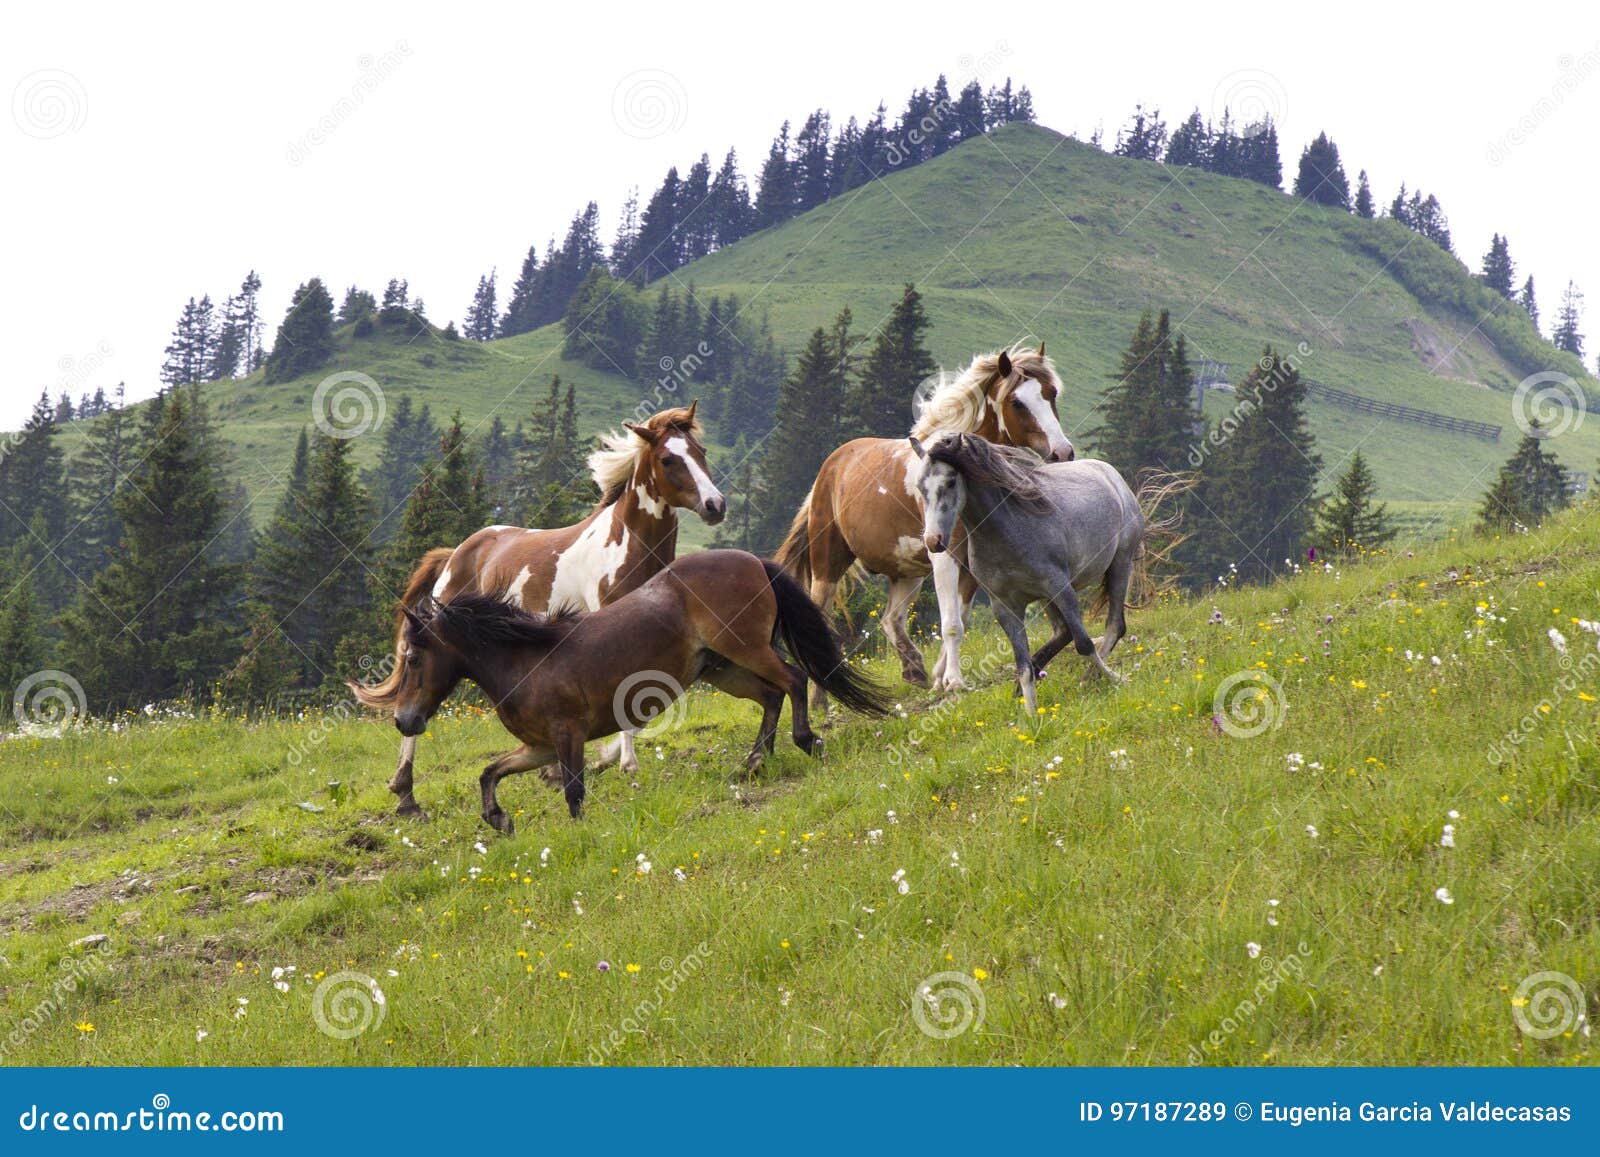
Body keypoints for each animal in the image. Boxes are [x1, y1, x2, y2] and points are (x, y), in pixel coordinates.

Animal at [351, 550, 891, 831]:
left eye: (413, 658)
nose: (403, 720)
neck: (525, 658)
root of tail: (752, 561)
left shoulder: (567, 736)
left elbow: (573, 791)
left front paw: (577, 835)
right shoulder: (539, 746)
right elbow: (491, 772)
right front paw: (498, 819)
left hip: (745, 649)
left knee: (795, 681)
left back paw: (805, 743)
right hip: (724, 670)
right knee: (772, 696)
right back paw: (756, 761)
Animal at [365, 403, 725, 820]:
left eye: (701, 451)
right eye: (668, 459)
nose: (716, 505)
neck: (626, 547)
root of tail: (457, 552)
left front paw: (582, 764)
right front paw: (622, 763)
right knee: (414, 703)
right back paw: (405, 794)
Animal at [776, 345, 1073, 713]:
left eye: (1052, 393)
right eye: (1017, 402)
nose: (1062, 452)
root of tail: (830, 467)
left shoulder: (969, 564)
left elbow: (959, 617)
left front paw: (938, 678)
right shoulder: (944, 556)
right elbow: (951, 624)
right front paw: (954, 682)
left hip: (907, 571)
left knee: (891, 619)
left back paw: (913, 669)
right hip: (827, 564)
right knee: (824, 619)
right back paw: (821, 701)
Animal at [910, 431, 1152, 714]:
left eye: (950, 482)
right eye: (919, 486)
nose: (933, 541)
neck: (1008, 531)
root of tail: (1111, 474)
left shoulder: (1061, 588)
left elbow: (1084, 643)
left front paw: (1117, 679)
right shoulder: (1006, 607)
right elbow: (1023, 666)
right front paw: (1031, 714)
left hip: (1120, 565)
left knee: (1114, 625)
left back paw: (1091, 678)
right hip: (1047, 598)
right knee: (1063, 633)